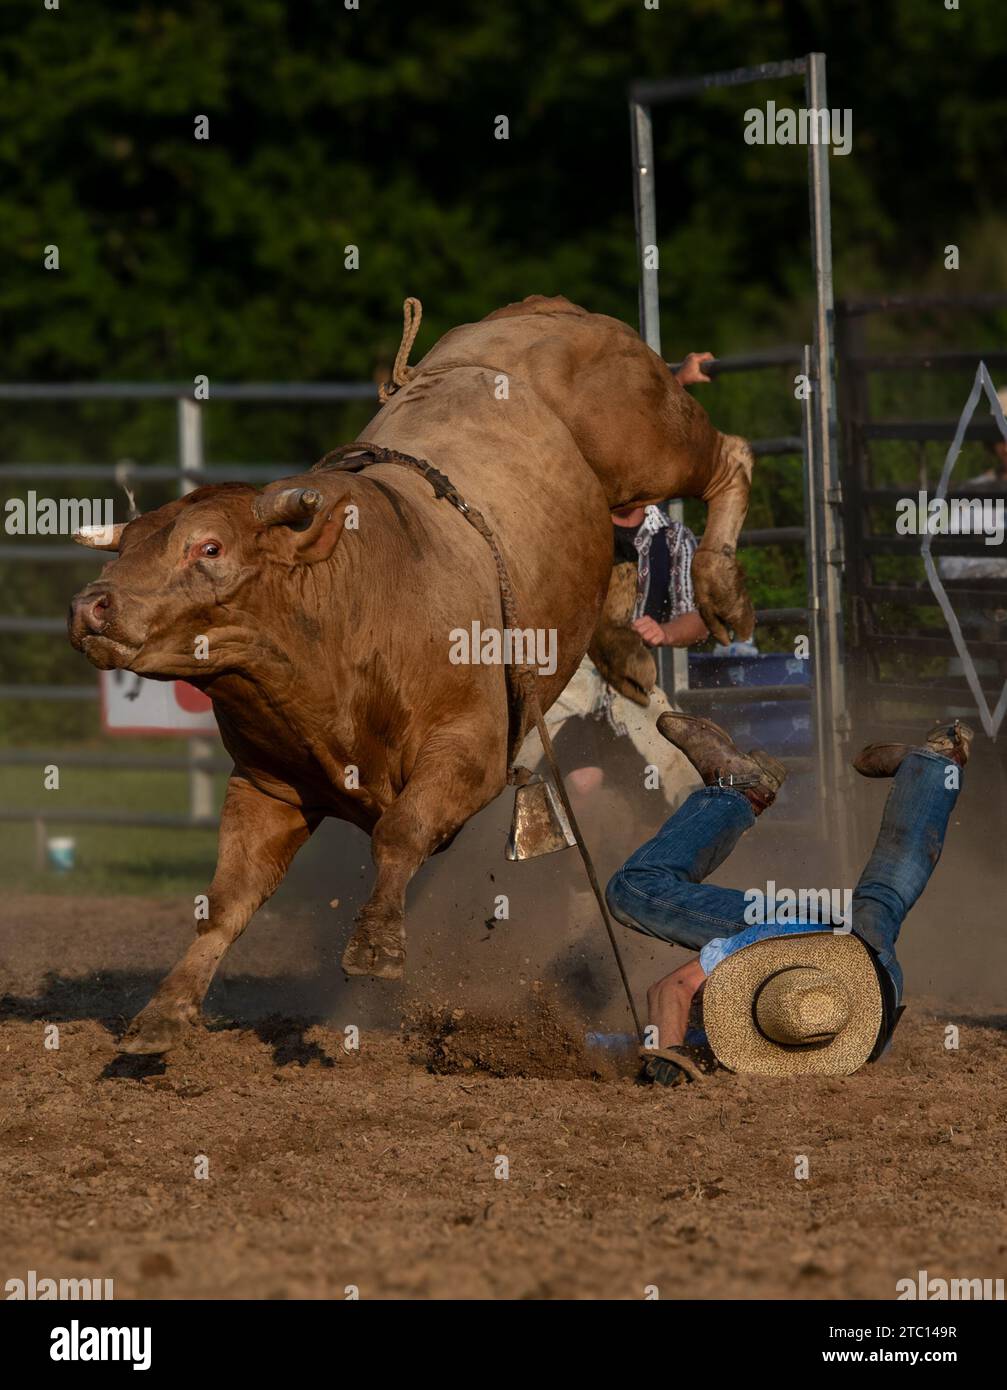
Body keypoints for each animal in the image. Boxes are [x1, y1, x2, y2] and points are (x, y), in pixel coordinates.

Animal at [69, 295, 755, 1054]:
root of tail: (545, 309)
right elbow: (225, 900)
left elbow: (399, 831)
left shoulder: (469, 754)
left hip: (648, 440)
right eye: (128, 547)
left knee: (728, 455)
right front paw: (167, 1008)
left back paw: (721, 587)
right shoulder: (266, 785)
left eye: (209, 548)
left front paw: (375, 946)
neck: (346, 610)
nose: (91, 606)